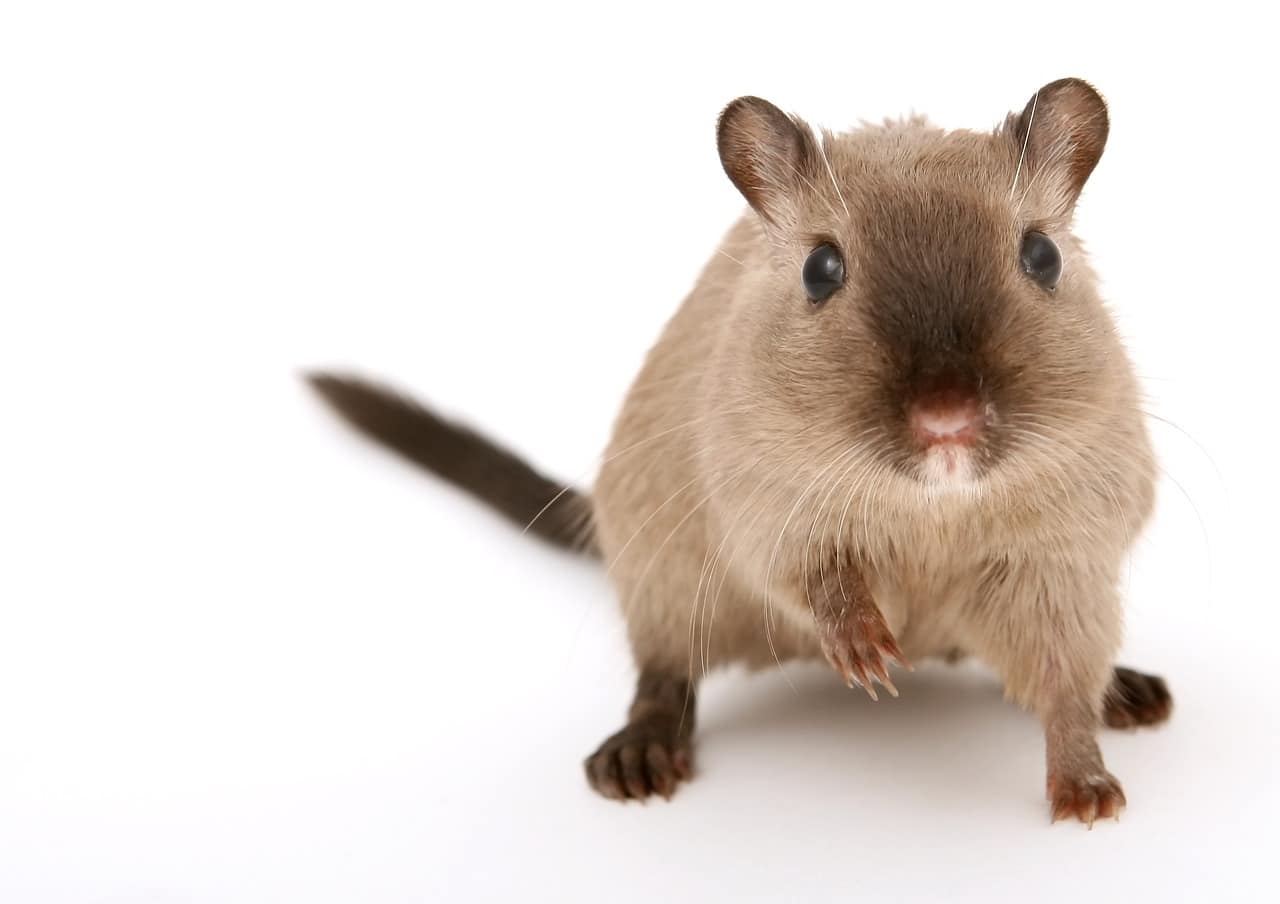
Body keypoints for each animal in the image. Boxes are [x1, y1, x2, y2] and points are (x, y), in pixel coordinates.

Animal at [309, 78, 1172, 826]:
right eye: (821, 270)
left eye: (1042, 257)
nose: (946, 421)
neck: (929, 500)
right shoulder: (765, 506)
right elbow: (812, 575)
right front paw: (865, 653)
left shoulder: (1062, 558)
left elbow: (1063, 682)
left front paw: (1088, 795)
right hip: (658, 575)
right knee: (663, 673)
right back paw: (637, 759)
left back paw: (1130, 694)